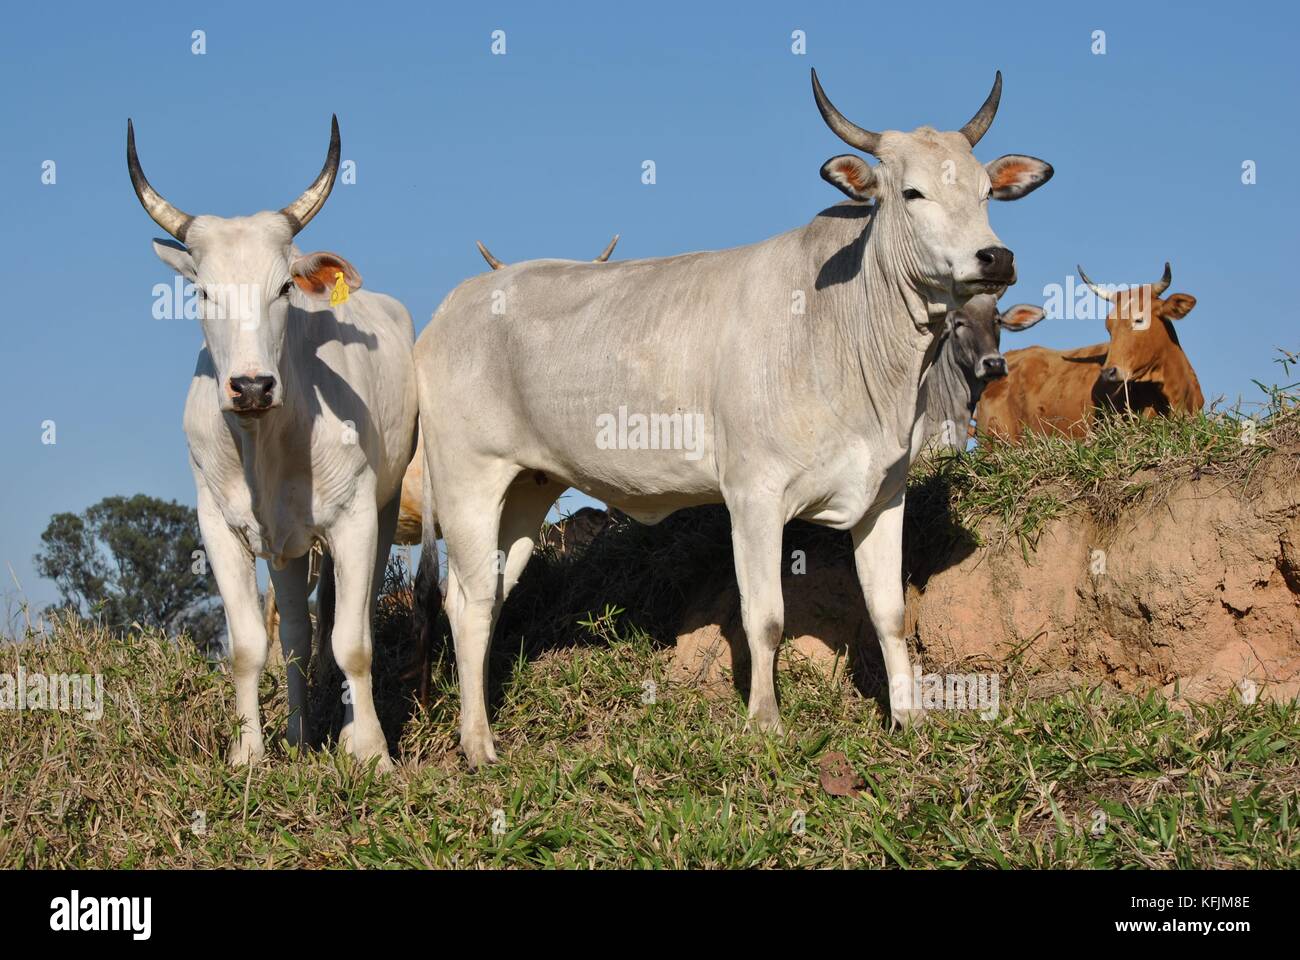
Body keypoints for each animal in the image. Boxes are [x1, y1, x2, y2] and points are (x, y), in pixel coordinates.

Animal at [128, 116, 418, 771]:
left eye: (284, 287)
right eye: (203, 293)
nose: (252, 385)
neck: (266, 440)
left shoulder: (357, 518)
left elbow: (353, 642)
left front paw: (371, 752)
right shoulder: (218, 526)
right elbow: (250, 645)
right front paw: (249, 754)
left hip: (383, 509)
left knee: (347, 618)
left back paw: (345, 733)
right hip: (286, 549)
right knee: (295, 636)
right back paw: (298, 735)